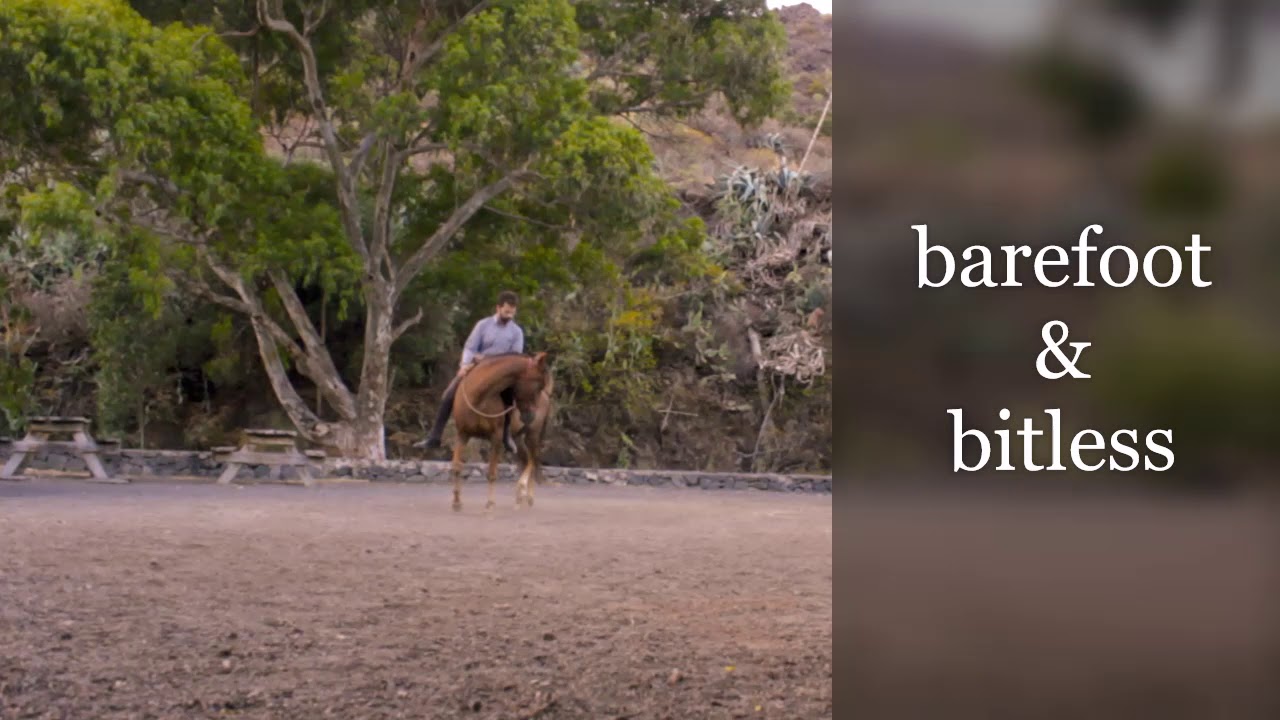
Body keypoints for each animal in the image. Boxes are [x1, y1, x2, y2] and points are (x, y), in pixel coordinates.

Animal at [445, 352, 551, 512]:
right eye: (539, 384)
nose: (531, 416)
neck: (479, 397)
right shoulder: (462, 434)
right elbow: (457, 466)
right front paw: (456, 502)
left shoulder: (496, 437)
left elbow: (491, 472)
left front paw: (490, 504)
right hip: (518, 438)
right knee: (526, 460)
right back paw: (522, 498)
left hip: (532, 435)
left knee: (533, 460)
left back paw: (524, 491)